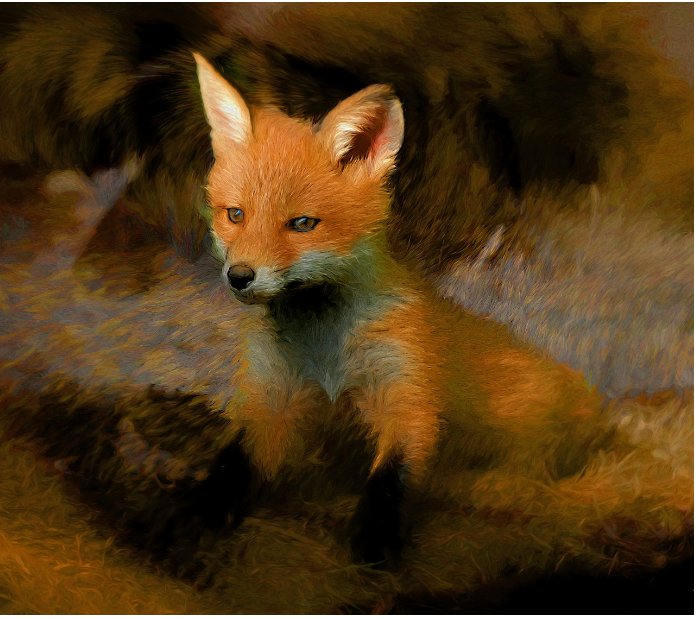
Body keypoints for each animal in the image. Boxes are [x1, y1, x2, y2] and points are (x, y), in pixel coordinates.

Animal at [190, 53, 603, 564]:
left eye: (302, 224)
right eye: (236, 215)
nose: (240, 276)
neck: (326, 352)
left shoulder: (407, 395)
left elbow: (392, 478)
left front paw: (375, 542)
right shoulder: (272, 400)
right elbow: (235, 462)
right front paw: (201, 512)